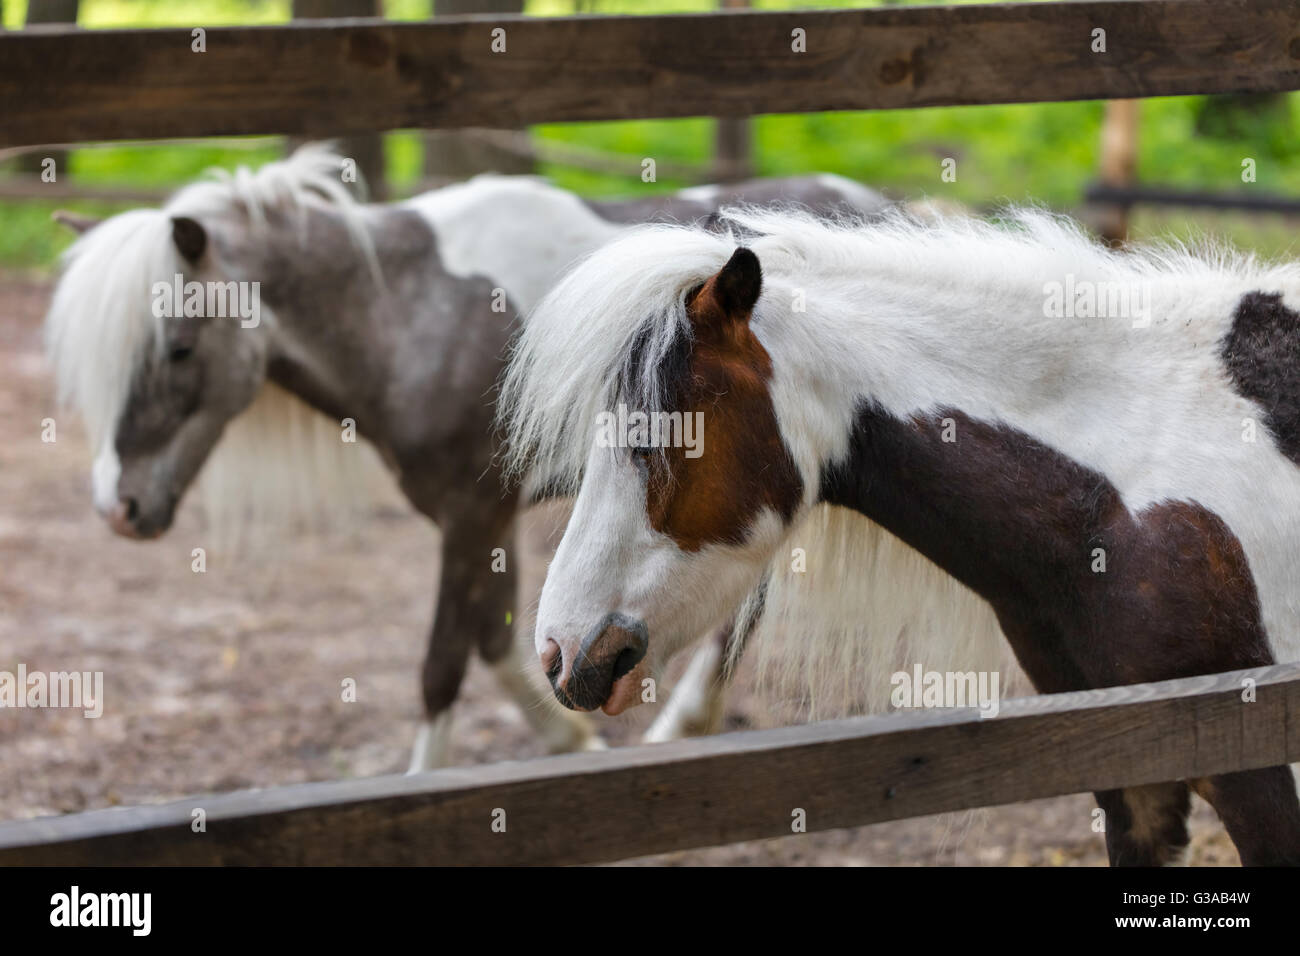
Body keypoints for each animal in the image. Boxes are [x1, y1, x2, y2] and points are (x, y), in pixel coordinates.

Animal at [44, 145, 886, 772]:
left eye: (181, 348)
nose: (118, 508)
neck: (413, 312)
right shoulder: (481, 517)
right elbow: (492, 636)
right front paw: (567, 738)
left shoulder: (471, 513)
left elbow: (442, 666)